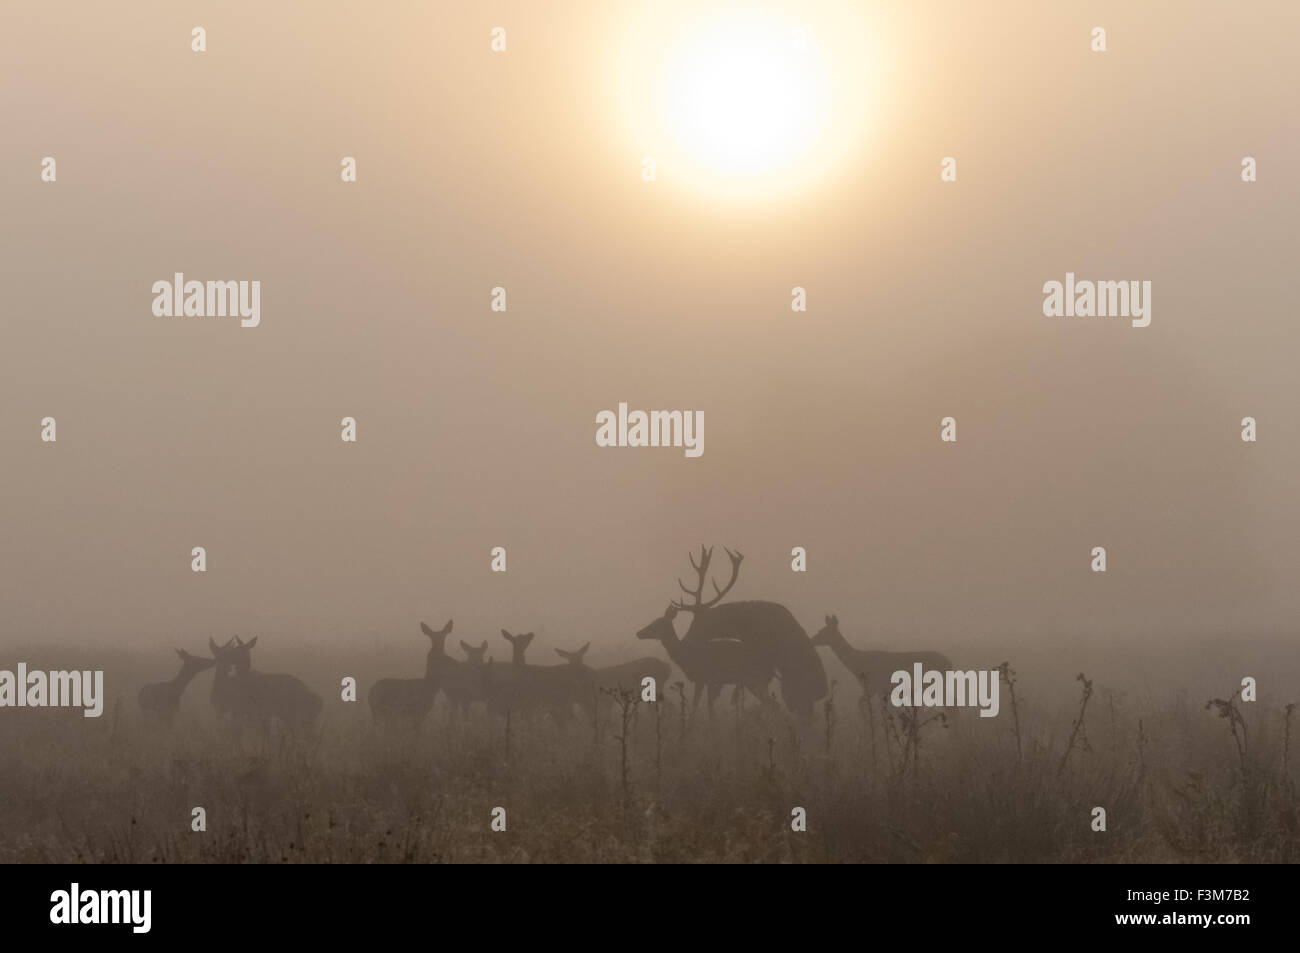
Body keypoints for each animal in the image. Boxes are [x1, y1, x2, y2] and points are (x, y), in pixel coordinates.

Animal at [638, 545, 828, 716]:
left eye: (698, 622)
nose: (686, 642)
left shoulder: (705, 678)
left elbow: (699, 707)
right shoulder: (712, 681)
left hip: (756, 680)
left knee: (779, 704)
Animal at [810, 614, 953, 699]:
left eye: (821, 631)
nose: (812, 640)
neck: (857, 663)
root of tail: (949, 664)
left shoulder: (873, 686)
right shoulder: (878, 689)